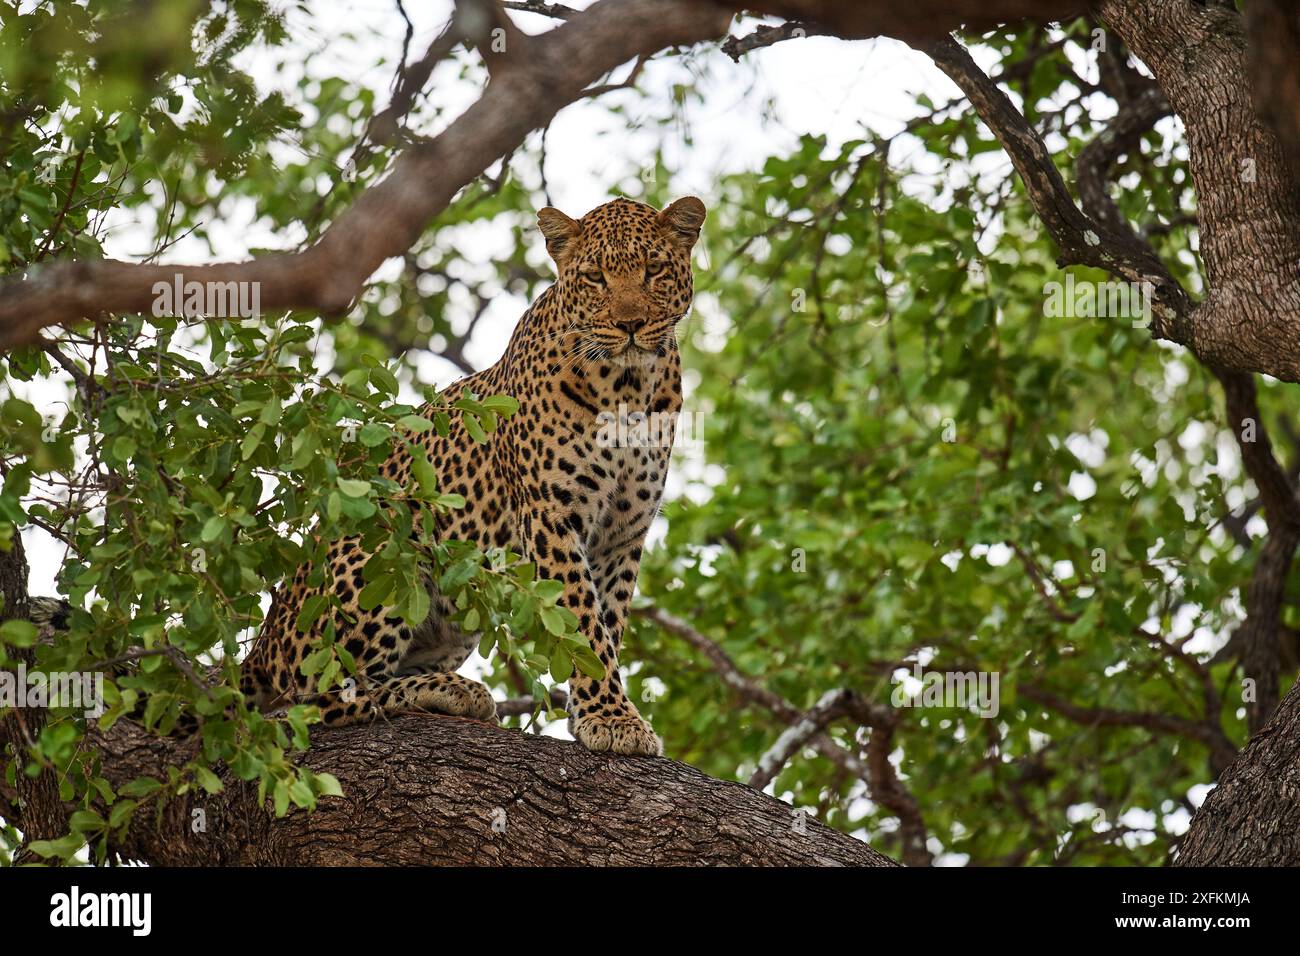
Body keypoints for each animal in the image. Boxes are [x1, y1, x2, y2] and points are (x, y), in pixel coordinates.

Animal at [236, 195, 706, 756]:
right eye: (595, 277)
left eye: (654, 270)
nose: (630, 323)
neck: (630, 387)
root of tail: (265, 640)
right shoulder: (552, 516)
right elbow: (582, 623)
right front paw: (611, 717)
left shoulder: (623, 532)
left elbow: (607, 622)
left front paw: (595, 714)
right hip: (379, 553)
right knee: (321, 696)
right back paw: (452, 692)